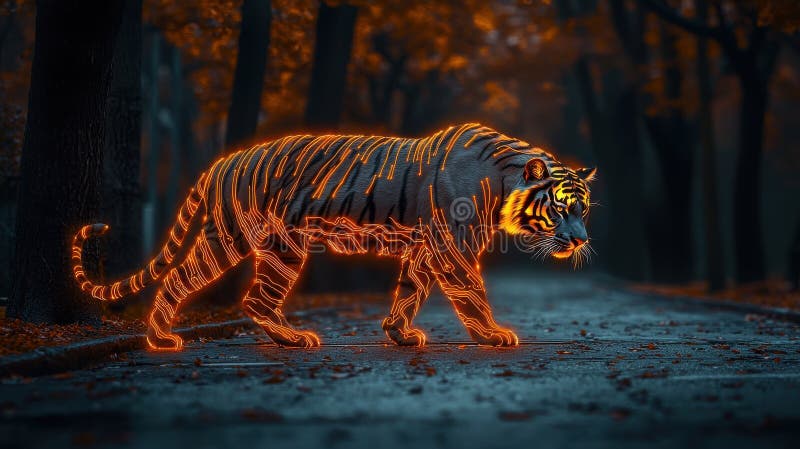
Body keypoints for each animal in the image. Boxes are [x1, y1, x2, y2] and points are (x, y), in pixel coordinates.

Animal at [71, 123, 596, 350]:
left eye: (583, 209)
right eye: (559, 210)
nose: (578, 241)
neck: (502, 182)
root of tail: (222, 162)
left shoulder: (426, 248)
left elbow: (409, 290)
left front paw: (399, 333)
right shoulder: (453, 248)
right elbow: (470, 293)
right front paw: (492, 334)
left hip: (234, 239)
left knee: (196, 283)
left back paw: (164, 337)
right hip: (269, 243)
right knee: (248, 297)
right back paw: (288, 339)